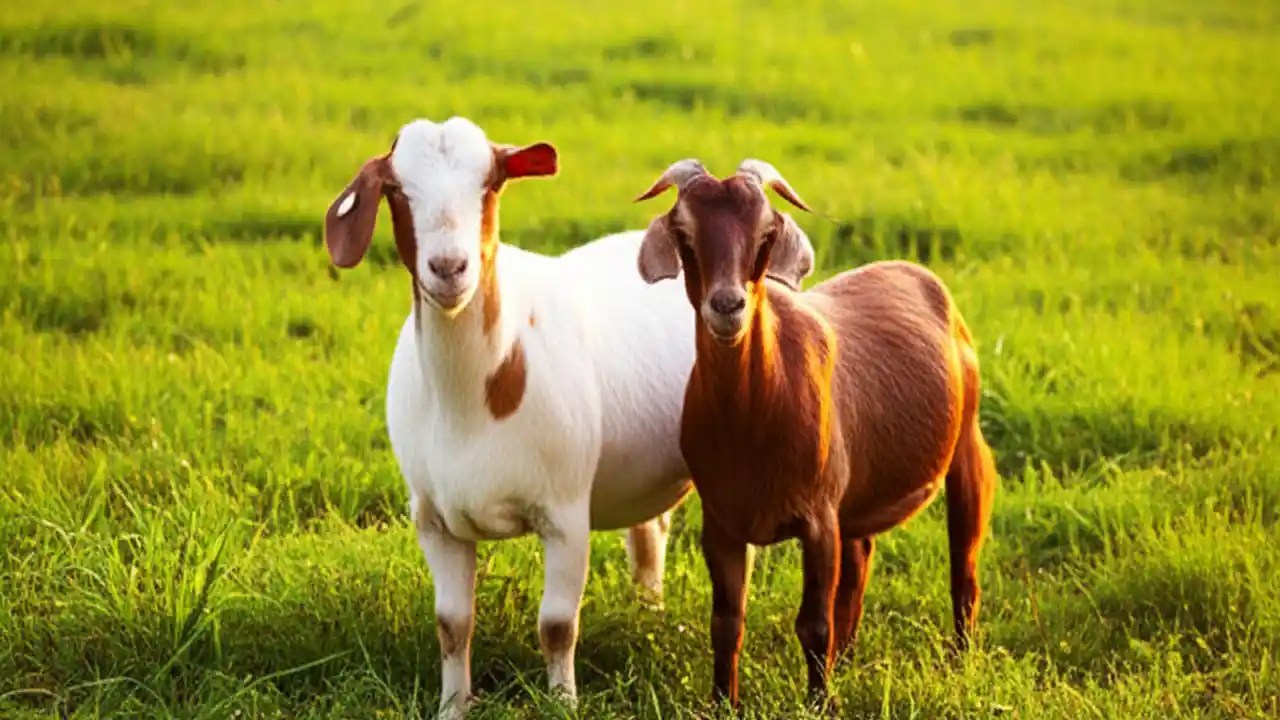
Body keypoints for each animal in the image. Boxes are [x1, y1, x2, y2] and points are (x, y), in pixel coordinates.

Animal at [324, 117, 694, 719]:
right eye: (396, 190)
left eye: (490, 183)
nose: (449, 268)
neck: (473, 402)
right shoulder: (432, 519)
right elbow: (452, 624)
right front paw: (454, 705)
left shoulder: (566, 514)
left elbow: (557, 626)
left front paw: (563, 704)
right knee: (649, 534)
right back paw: (649, 615)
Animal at [634, 158, 997, 706]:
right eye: (684, 234)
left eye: (766, 233)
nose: (728, 306)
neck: (751, 423)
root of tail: (914, 271)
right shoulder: (720, 521)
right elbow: (726, 622)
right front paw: (722, 703)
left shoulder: (818, 517)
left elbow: (812, 624)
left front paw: (819, 703)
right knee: (860, 562)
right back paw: (845, 660)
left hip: (967, 446)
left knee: (964, 564)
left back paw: (960, 659)